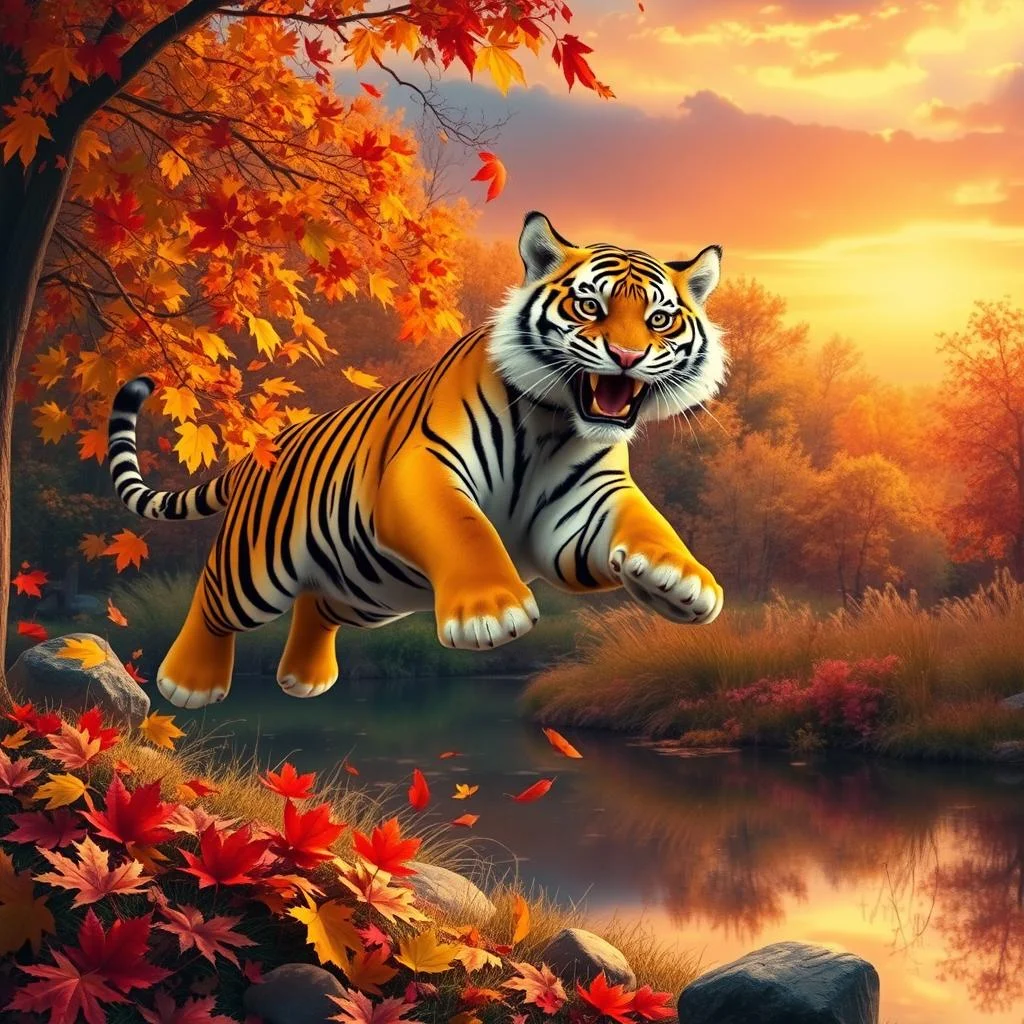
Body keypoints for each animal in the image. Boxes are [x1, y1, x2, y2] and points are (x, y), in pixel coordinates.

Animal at [107, 212, 728, 709]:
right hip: (257, 570)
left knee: (318, 606)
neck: (553, 424)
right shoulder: (423, 469)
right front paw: (490, 611)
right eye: (590, 306)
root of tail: (258, 455)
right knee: (213, 599)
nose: (626, 356)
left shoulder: (579, 511)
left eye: (659, 320)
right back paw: (188, 683)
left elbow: (647, 521)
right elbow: (465, 528)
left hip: (367, 590)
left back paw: (305, 679)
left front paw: (679, 579)